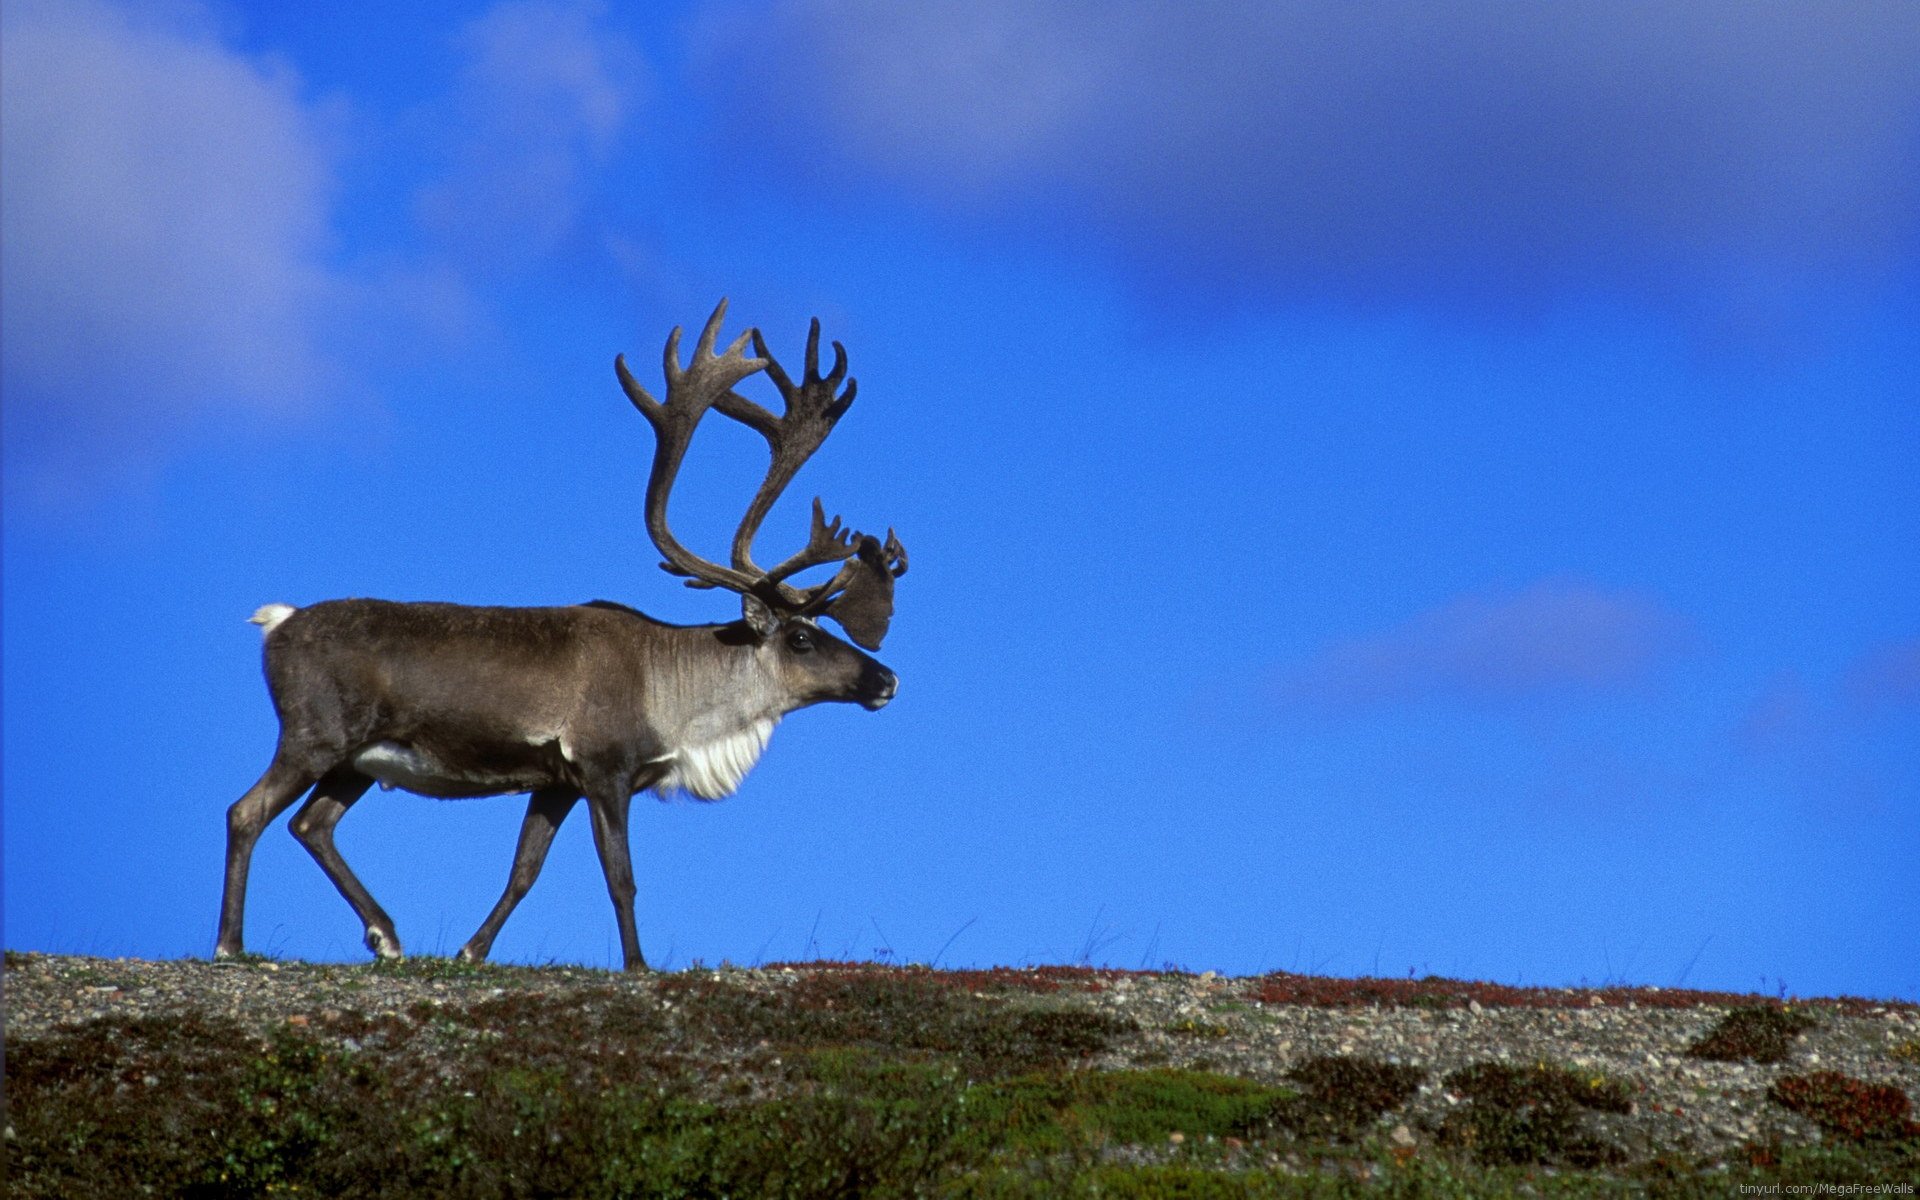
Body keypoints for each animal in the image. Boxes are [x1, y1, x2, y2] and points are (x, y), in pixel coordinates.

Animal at [214, 301, 907, 971]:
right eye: (800, 639)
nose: (887, 678)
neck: (680, 704)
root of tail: (277, 622)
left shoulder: (554, 782)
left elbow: (525, 871)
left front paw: (471, 952)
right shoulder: (604, 769)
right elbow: (621, 877)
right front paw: (636, 964)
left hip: (357, 759)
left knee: (312, 825)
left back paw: (386, 935)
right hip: (314, 736)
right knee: (247, 811)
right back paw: (231, 944)